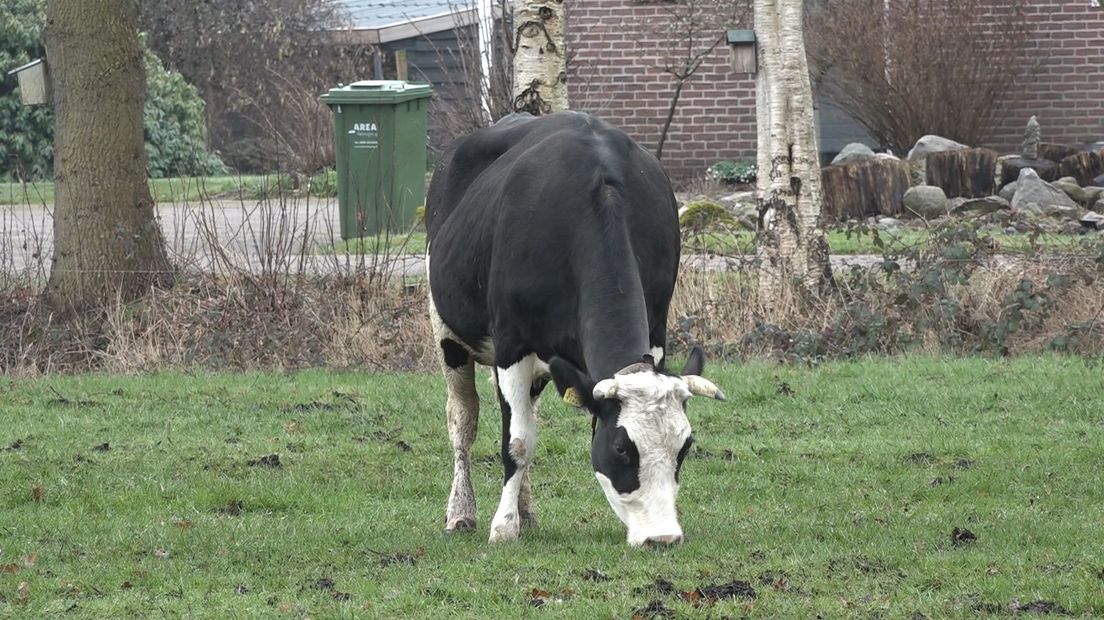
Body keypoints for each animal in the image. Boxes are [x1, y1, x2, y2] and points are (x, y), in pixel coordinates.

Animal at [425, 111, 724, 547]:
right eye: (621, 449)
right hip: (447, 331)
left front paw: (516, 517)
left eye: (685, 447)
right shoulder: (511, 345)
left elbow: (524, 434)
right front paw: (503, 527)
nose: (663, 538)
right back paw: (461, 512)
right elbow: (516, 442)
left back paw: (528, 513)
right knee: (464, 420)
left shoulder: (656, 332)